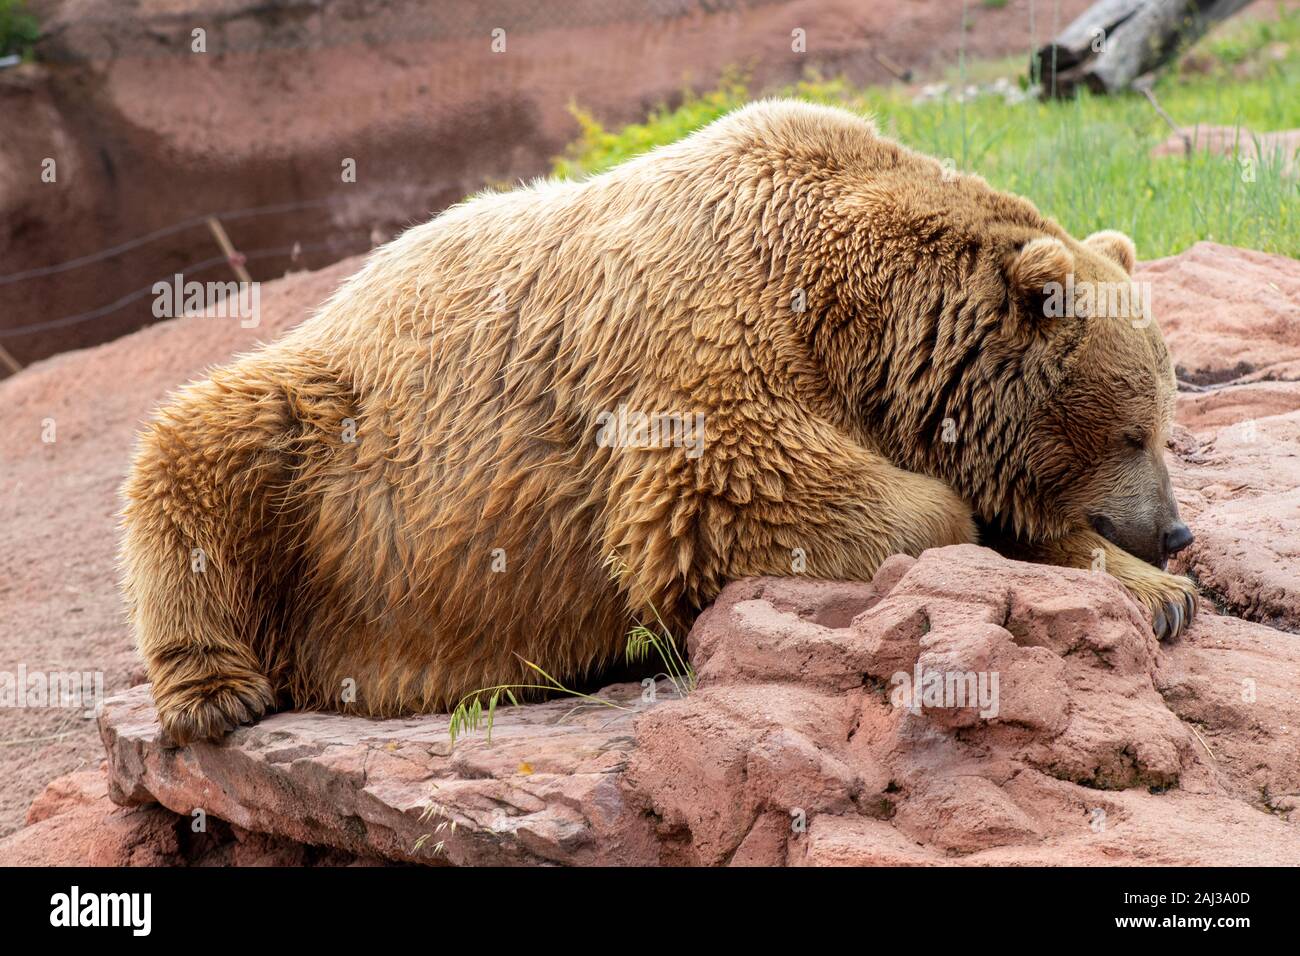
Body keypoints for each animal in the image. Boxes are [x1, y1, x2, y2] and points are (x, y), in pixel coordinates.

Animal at [120, 99, 1198, 744]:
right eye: (1132, 428)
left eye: (1164, 415)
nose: (1173, 527)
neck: (860, 313)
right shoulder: (715, 333)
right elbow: (734, 494)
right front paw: (946, 516)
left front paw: (1157, 592)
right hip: (326, 438)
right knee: (196, 448)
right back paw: (216, 690)